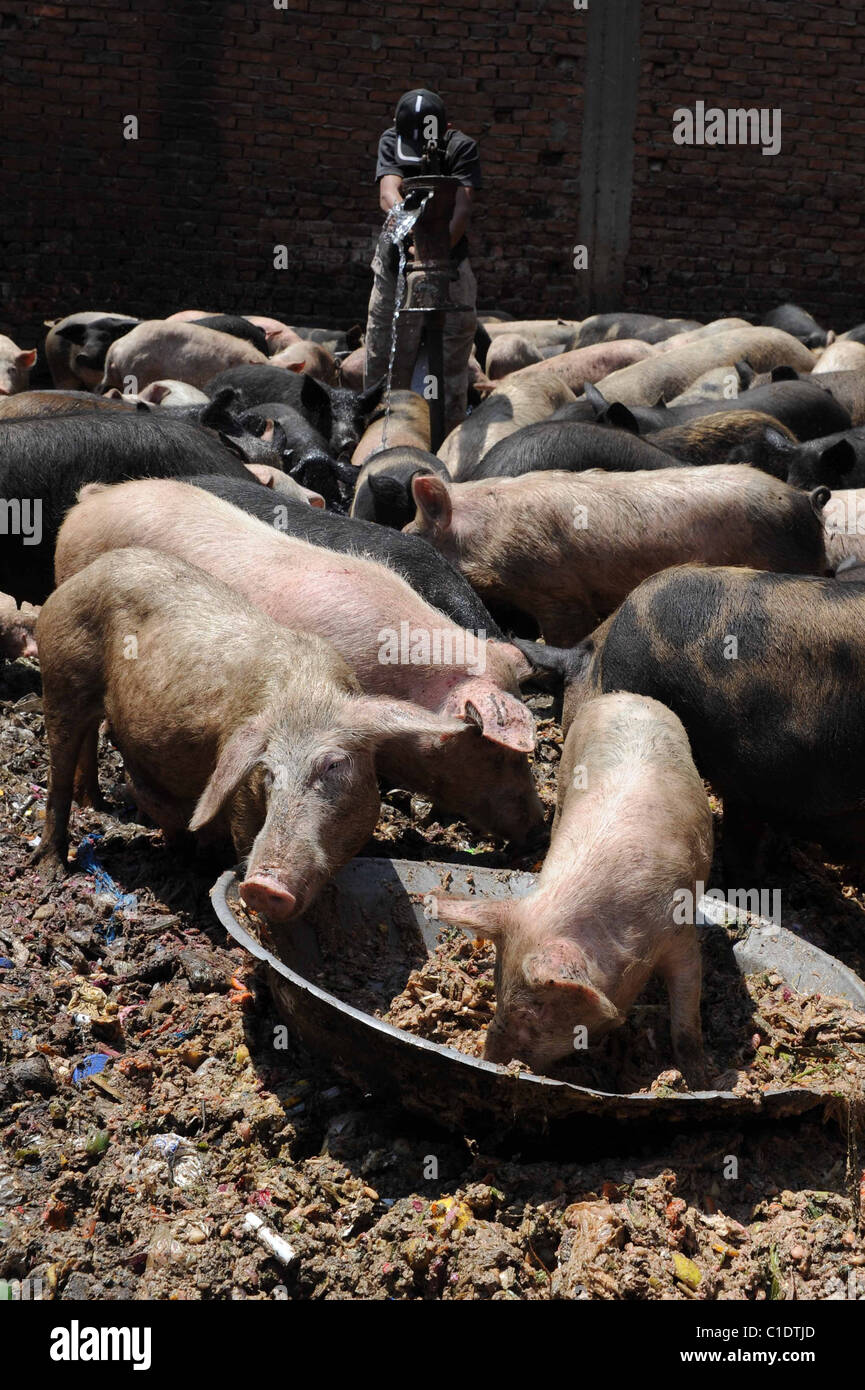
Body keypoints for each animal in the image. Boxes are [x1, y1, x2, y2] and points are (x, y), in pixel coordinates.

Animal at [33, 547, 464, 917]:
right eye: (268, 772)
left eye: (333, 765)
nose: (263, 886)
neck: (307, 694)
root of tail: (81, 577)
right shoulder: (240, 791)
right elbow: (240, 836)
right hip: (61, 675)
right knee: (59, 772)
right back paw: (53, 869)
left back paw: (99, 806)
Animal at [432, 693, 712, 1078]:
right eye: (497, 989)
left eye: (531, 1015)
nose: (489, 1061)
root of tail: (622, 695)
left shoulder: (679, 932)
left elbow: (687, 1006)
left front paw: (700, 1075)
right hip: (565, 779)